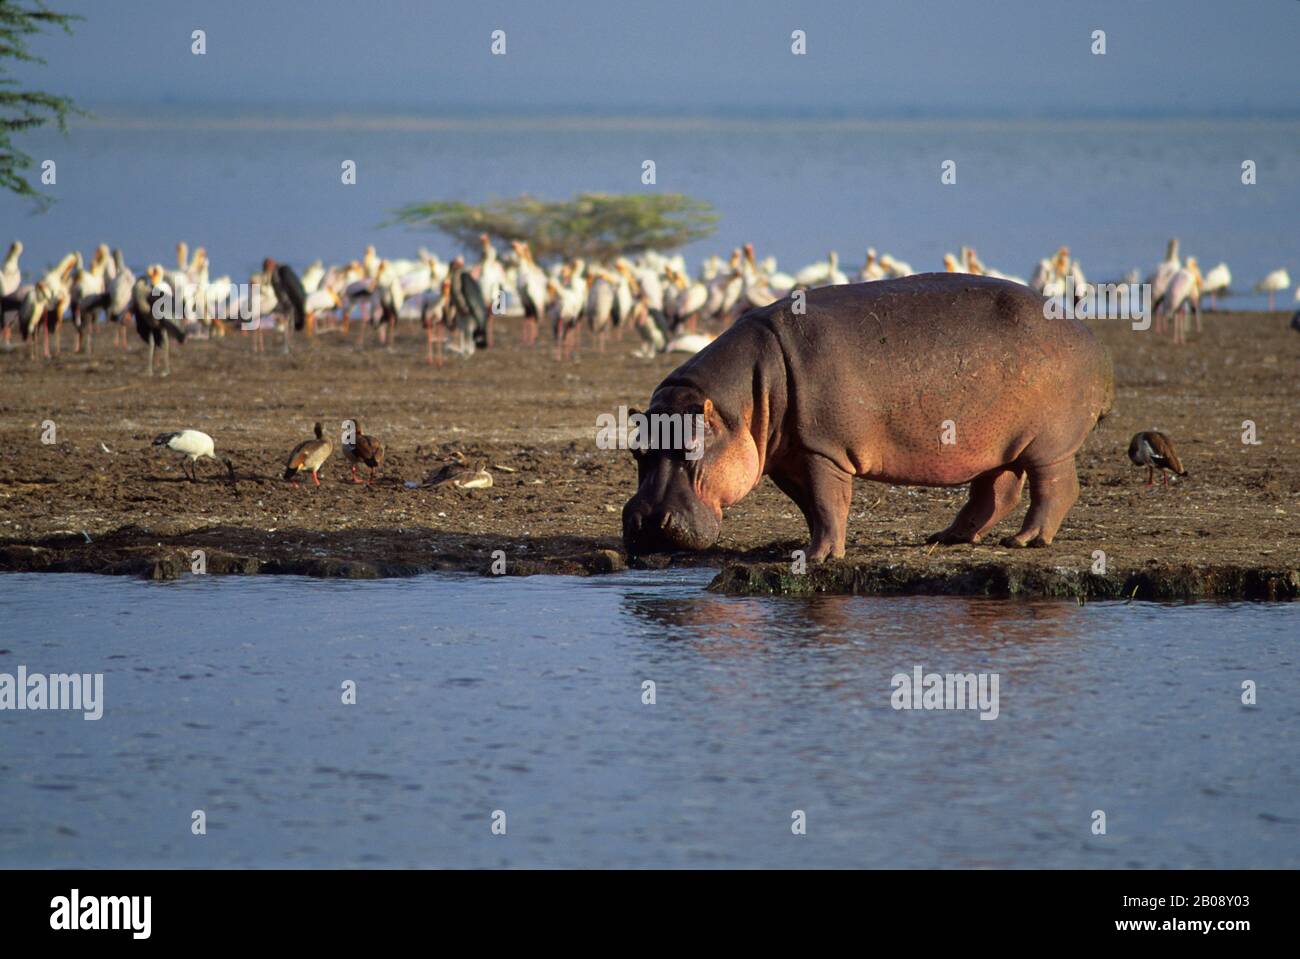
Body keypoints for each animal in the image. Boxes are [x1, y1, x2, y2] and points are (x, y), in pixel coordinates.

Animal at [622, 273, 1114, 561]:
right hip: (996, 443)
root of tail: (1087, 333)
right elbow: (813, 506)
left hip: (1048, 444)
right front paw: (813, 546)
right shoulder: (790, 457)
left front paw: (817, 558)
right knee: (996, 491)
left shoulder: (824, 450)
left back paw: (1027, 541)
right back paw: (947, 537)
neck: (737, 403)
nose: (646, 522)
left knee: (1054, 488)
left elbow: (827, 502)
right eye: (636, 450)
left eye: (692, 448)